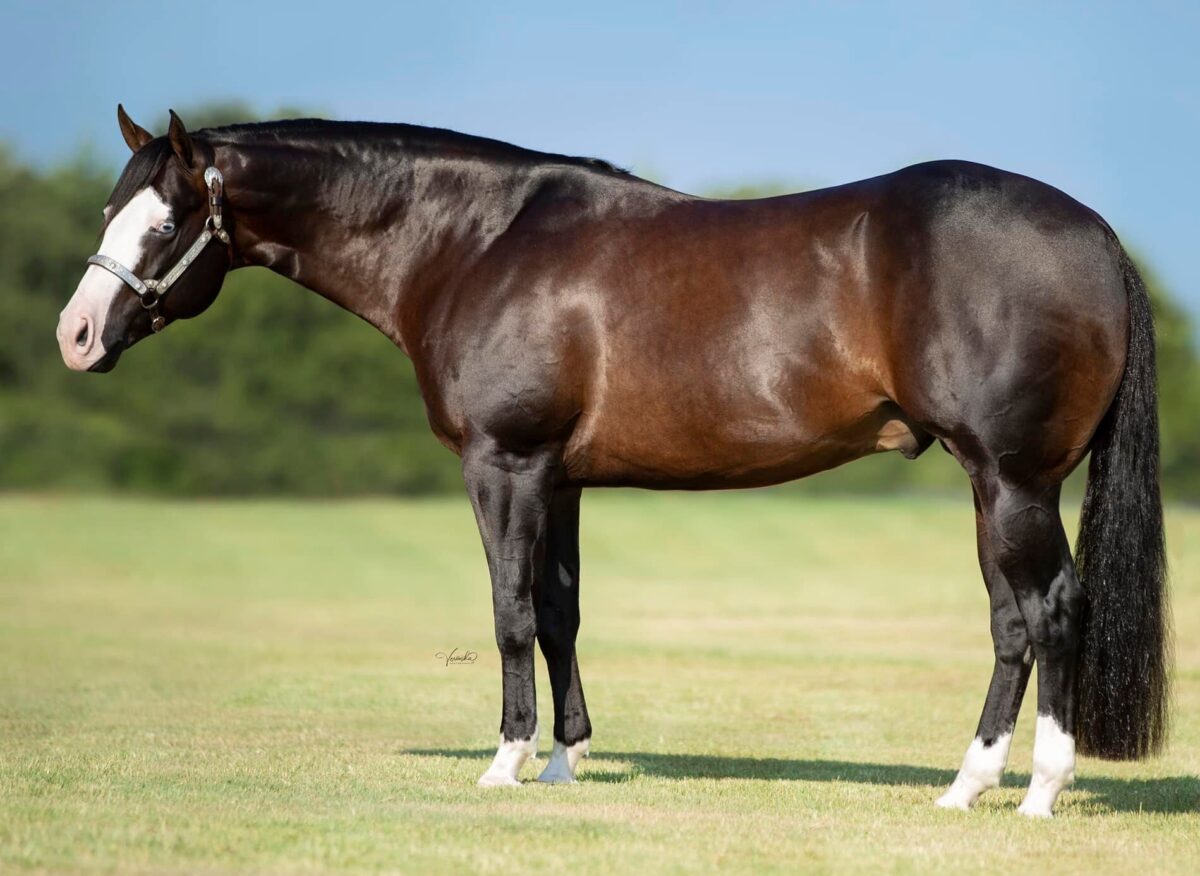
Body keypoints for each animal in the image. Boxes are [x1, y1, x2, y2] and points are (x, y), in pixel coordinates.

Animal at [57, 106, 1170, 817]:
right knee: (1011, 624)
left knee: (1050, 611)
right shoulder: (562, 478)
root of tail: (1098, 237)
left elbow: (508, 613)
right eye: (110, 210)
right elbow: (560, 612)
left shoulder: (504, 464)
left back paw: (1033, 794)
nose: (76, 337)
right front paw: (564, 762)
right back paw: (968, 785)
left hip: (1012, 481)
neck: (472, 242)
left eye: (165, 219)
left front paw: (504, 764)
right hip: (998, 486)